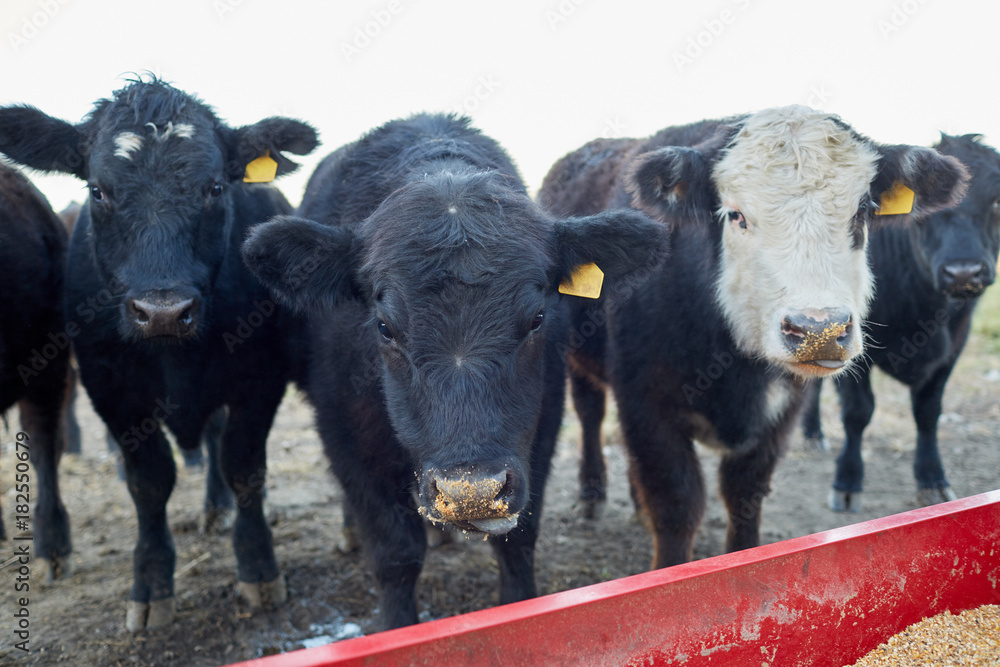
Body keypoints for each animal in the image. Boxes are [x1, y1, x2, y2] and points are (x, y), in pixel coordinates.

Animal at [0, 77, 318, 630]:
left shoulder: (259, 379)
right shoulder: (113, 388)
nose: (164, 311)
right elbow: (149, 481)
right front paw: (150, 583)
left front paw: (259, 568)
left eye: (216, 188)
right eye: (98, 189)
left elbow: (242, 465)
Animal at [241, 113, 666, 630]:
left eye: (537, 318)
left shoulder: (540, 430)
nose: (470, 493)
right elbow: (396, 555)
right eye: (384, 326)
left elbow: (517, 543)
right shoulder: (346, 433)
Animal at [538, 105, 969, 568]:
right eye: (736, 215)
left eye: (862, 210)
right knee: (590, 414)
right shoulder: (645, 404)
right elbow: (677, 503)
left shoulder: (781, 415)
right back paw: (592, 494)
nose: (819, 330)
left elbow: (744, 494)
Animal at [801, 133, 1000, 511]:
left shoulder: (954, 345)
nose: (963, 272)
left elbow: (928, 411)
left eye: (996, 202)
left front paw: (932, 480)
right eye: (925, 215)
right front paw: (847, 482)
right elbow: (858, 412)